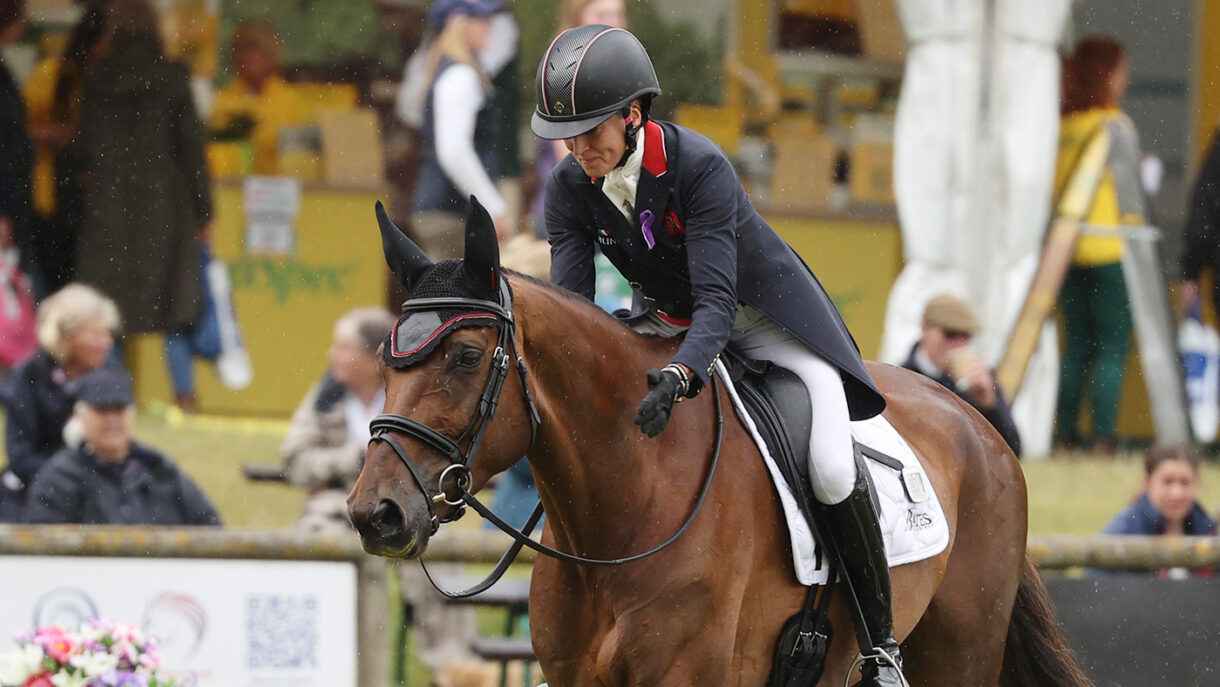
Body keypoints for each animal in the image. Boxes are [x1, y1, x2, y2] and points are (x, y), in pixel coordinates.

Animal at [348, 201, 1090, 687]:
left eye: (467, 357)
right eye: (385, 363)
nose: (374, 512)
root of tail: (980, 424)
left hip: (958, 653)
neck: (625, 506)